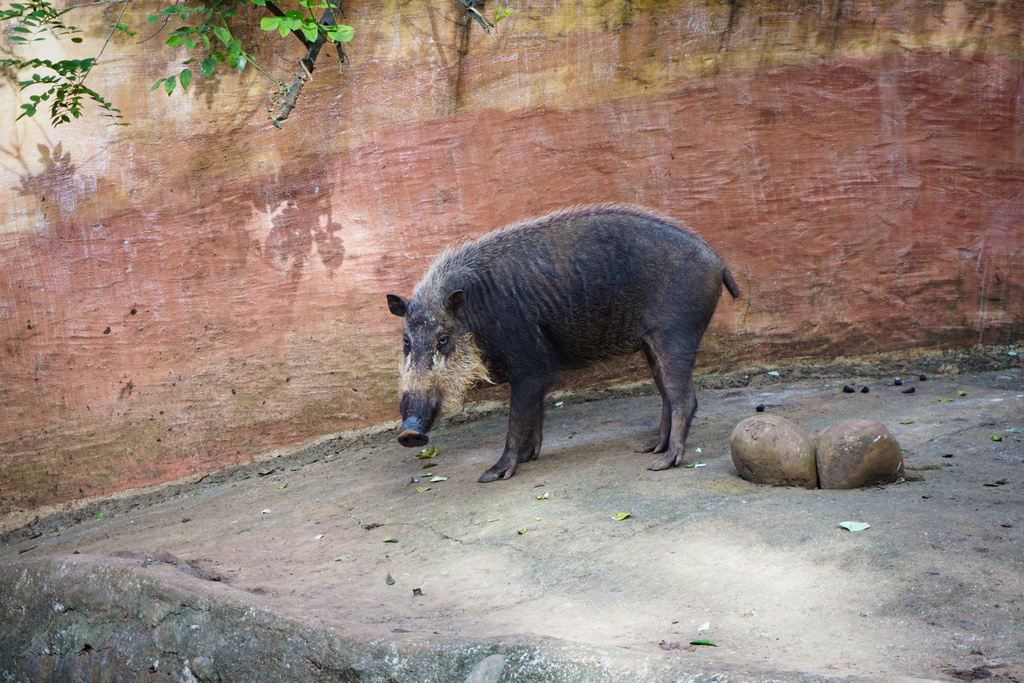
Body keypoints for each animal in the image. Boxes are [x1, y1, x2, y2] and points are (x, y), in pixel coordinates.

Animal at [386, 205, 741, 482]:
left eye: (443, 338)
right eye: (406, 340)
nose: (409, 434)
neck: (475, 313)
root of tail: (719, 261)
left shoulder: (530, 366)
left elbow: (517, 418)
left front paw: (493, 474)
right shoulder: (533, 370)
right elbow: (533, 414)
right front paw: (528, 457)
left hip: (676, 334)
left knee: (685, 397)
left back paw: (663, 463)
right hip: (652, 344)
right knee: (667, 393)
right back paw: (649, 448)